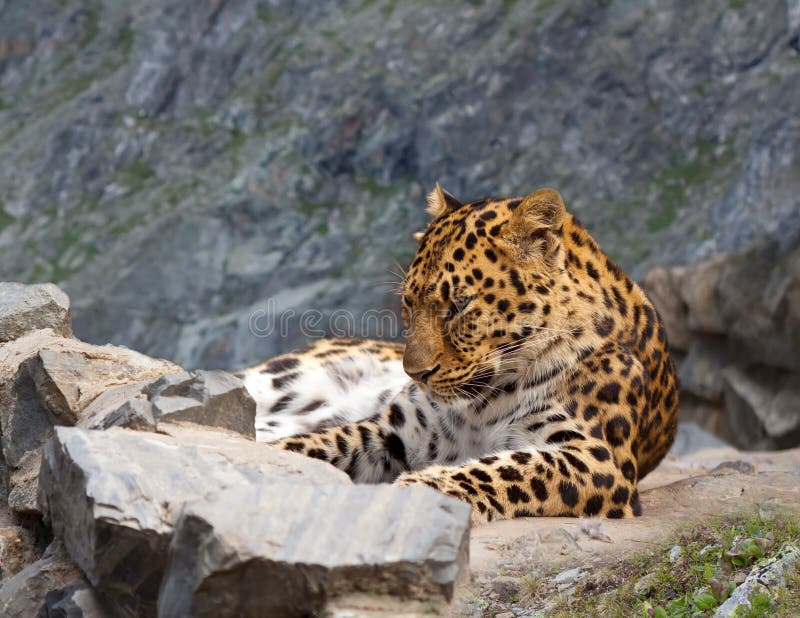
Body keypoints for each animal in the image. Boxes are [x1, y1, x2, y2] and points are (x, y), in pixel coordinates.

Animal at [239, 186, 679, 524]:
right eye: (408, 302)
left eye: (459, 304)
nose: (415, 373)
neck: (485, 401)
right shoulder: (394, 433)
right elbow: (321, 443)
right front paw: (272, 457)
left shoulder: (598, 459)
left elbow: (504, 469)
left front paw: (419, 486)